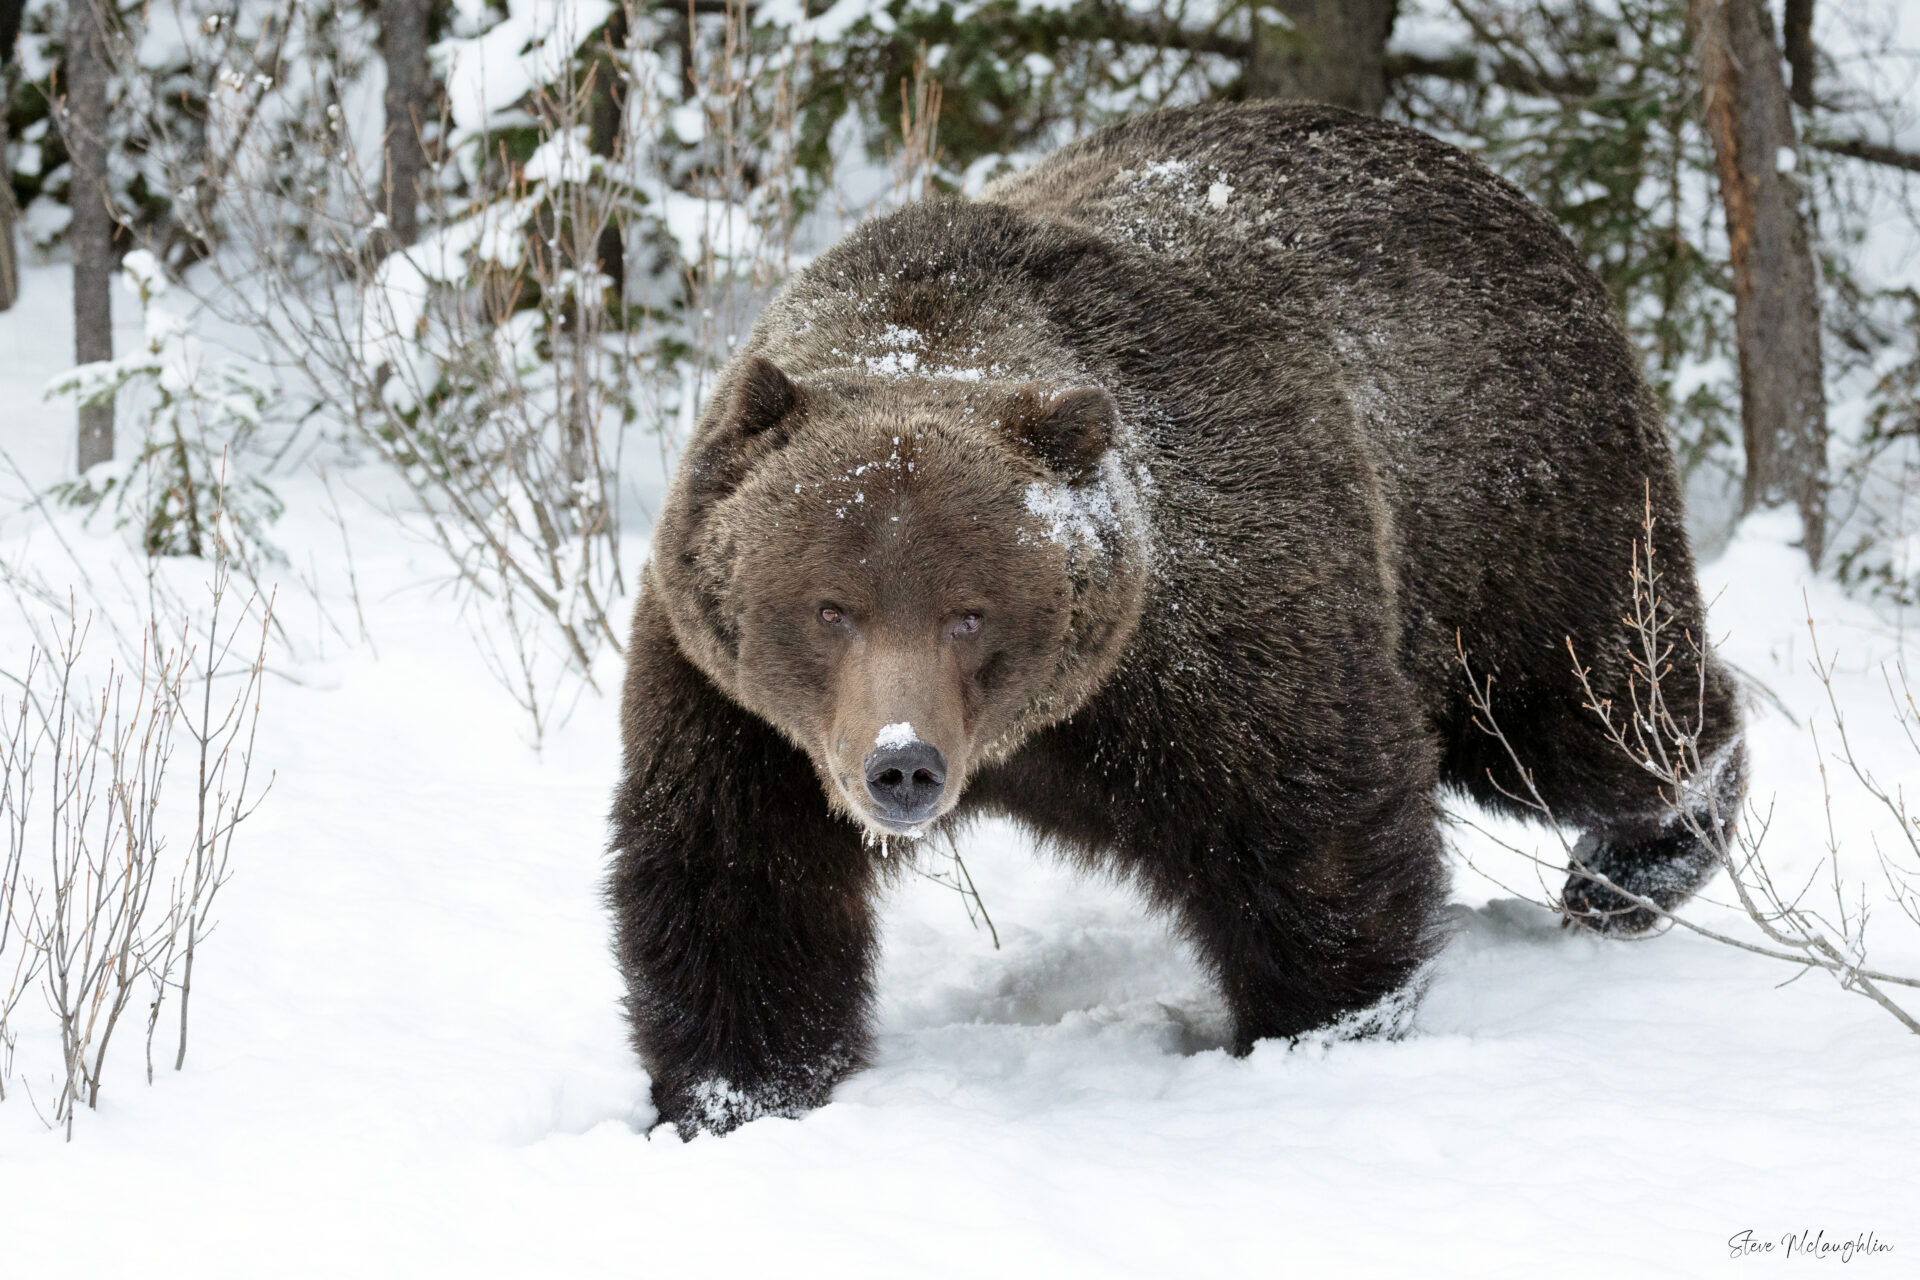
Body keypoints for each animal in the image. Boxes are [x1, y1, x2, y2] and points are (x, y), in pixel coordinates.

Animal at [607, 100, 1745, 1137]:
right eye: (829, 606)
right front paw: (741, 1092)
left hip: (1504, 502)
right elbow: (737, 884)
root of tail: (1500, 191)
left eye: (969, 611)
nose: (902, 765)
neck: (1040, 729)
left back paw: (1635, 861)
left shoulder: (1215, 631)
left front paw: (1320, 1034)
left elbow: (1314, 827)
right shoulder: (739, 706)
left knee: (1579, 707)